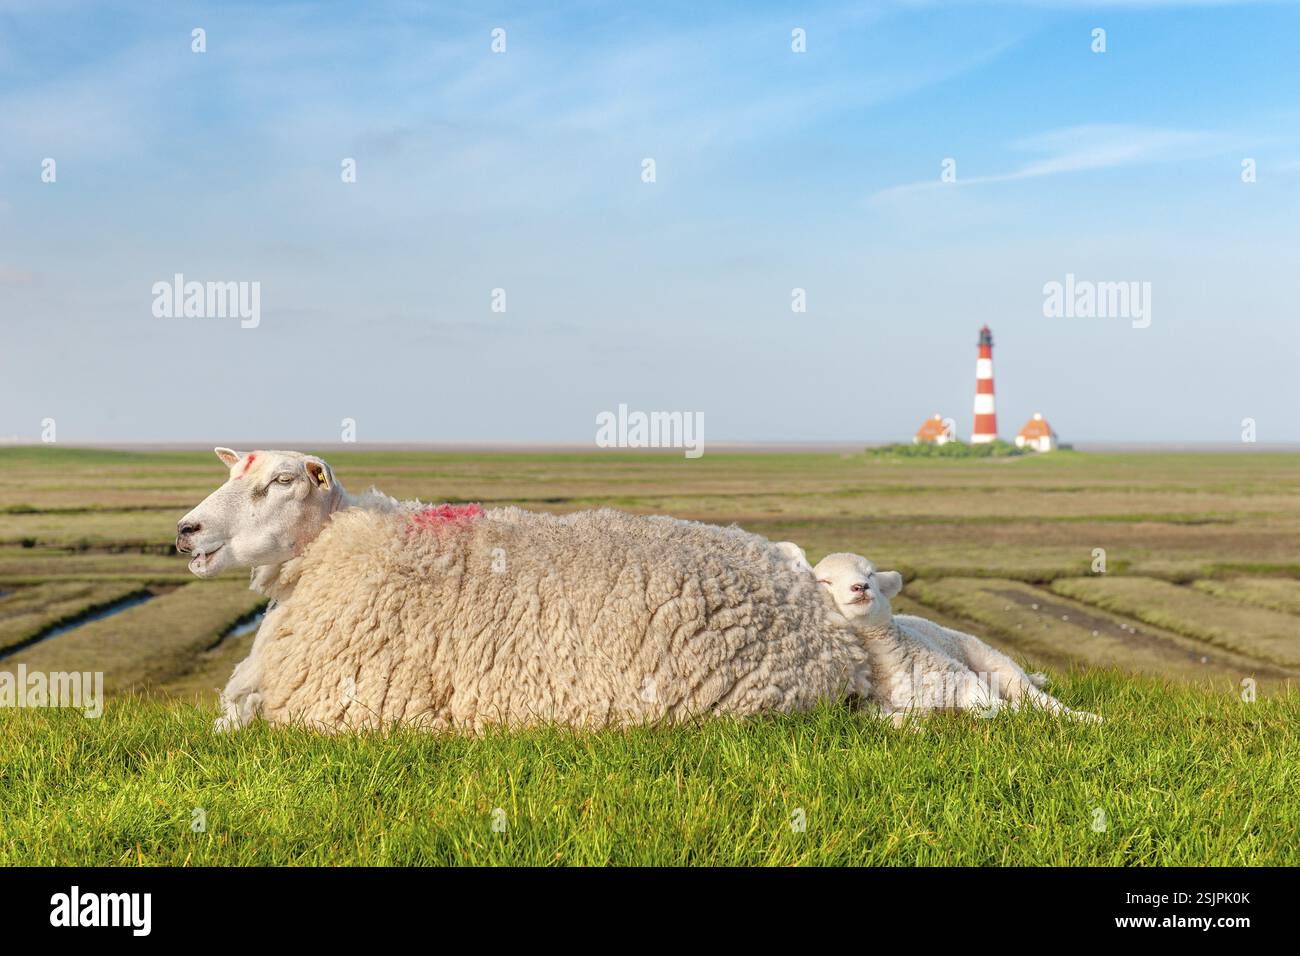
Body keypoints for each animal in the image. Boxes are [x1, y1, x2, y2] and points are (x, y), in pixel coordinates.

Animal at [811, 552, 1098, 724]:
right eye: (824, 582)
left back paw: (1085, 718)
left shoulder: (959, 677)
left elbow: (994, 705)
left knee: (1035, 696)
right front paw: (916, 725)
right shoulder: (866, 707)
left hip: (991, 659)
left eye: (870, 573)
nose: (861, 587)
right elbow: (891, 719)